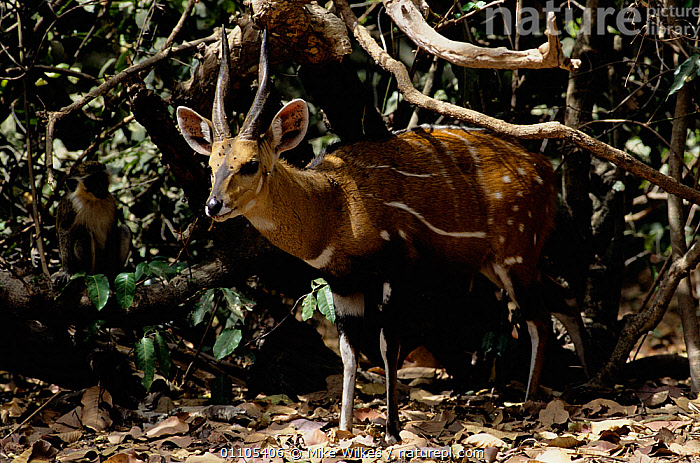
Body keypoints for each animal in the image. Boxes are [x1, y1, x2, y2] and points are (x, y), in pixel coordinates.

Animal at [177, 28, 588, 443]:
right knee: (565, 297)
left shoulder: (397, 267)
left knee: (538, 319)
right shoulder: (342, 281)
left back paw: (530, 401)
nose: (213, 205)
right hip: (498, 261)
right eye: (211, 165)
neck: (334, 209)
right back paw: (586, 382)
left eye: (250, 165)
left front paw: (391, 431)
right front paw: (344, 427)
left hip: (514, 253)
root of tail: (546, 170)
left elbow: (389, 345)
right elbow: (349, 352)